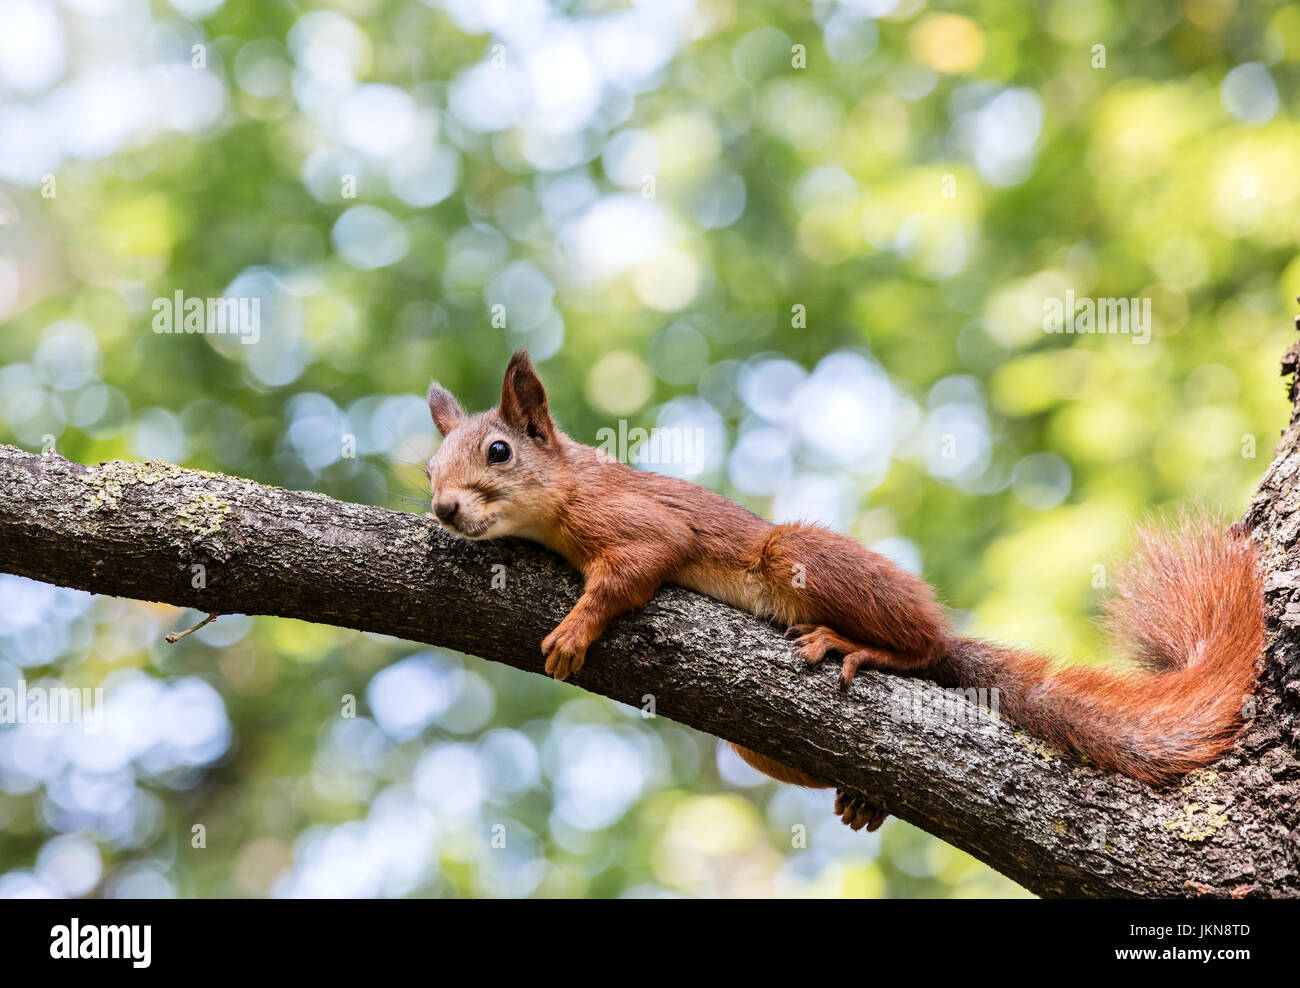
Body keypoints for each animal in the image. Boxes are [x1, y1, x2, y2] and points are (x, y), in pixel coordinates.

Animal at [425, 349, 1265, 831]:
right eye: (428, 467)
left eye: (498, 452)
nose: (443, 510)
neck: (563, 496)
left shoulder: (638, 525)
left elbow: (633, 571)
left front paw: (574, 629)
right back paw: (865, 797)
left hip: (799, 556)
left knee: (922, 647)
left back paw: (869, 649)